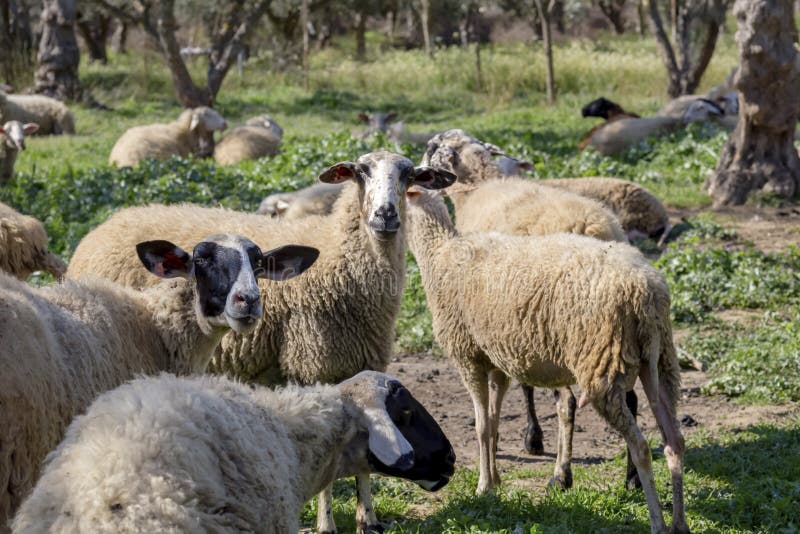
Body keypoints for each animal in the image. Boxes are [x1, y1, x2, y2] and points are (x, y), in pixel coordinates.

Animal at [65, 150, 456, 534]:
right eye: (361, 171)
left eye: (409, 175)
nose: (386, 215)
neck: (340, 256)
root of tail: (109, 222)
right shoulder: (311, 365)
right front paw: (327, 524)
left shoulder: (365, 362)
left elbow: (365, 456)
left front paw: (368, 520)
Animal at [406, 188, 688, 534]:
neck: (440, 253)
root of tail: (647, 291)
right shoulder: (497, 360)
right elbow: (494, 422)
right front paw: (495, 480)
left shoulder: (467, 355)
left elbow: (483, 425)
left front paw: (483, 486)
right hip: (660, 360)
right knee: (674, 441)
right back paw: (679, 522)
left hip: (602, 367)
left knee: (641, 447)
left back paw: (657, 522)